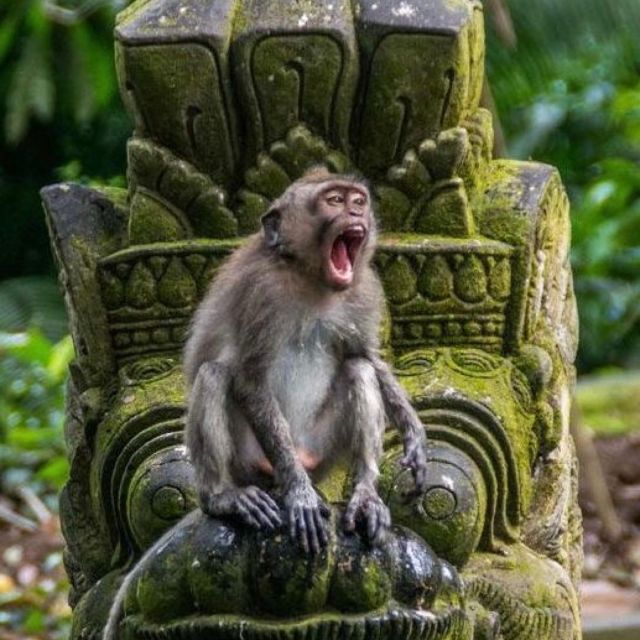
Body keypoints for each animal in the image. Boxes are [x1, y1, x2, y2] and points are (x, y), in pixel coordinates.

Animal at [183, 167, 429, 554]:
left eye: (358, 200)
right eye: (334, 200)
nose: (356, 211)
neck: (311, 280)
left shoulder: (364, 291)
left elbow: (366, 357)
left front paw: (414, 433)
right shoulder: (260, 291)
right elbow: (250, 379)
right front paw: (299, 494)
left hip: (320, 450)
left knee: (358, 370)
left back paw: (365, 495)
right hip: (250, 460)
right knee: (214, 375)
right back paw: (224, 496)